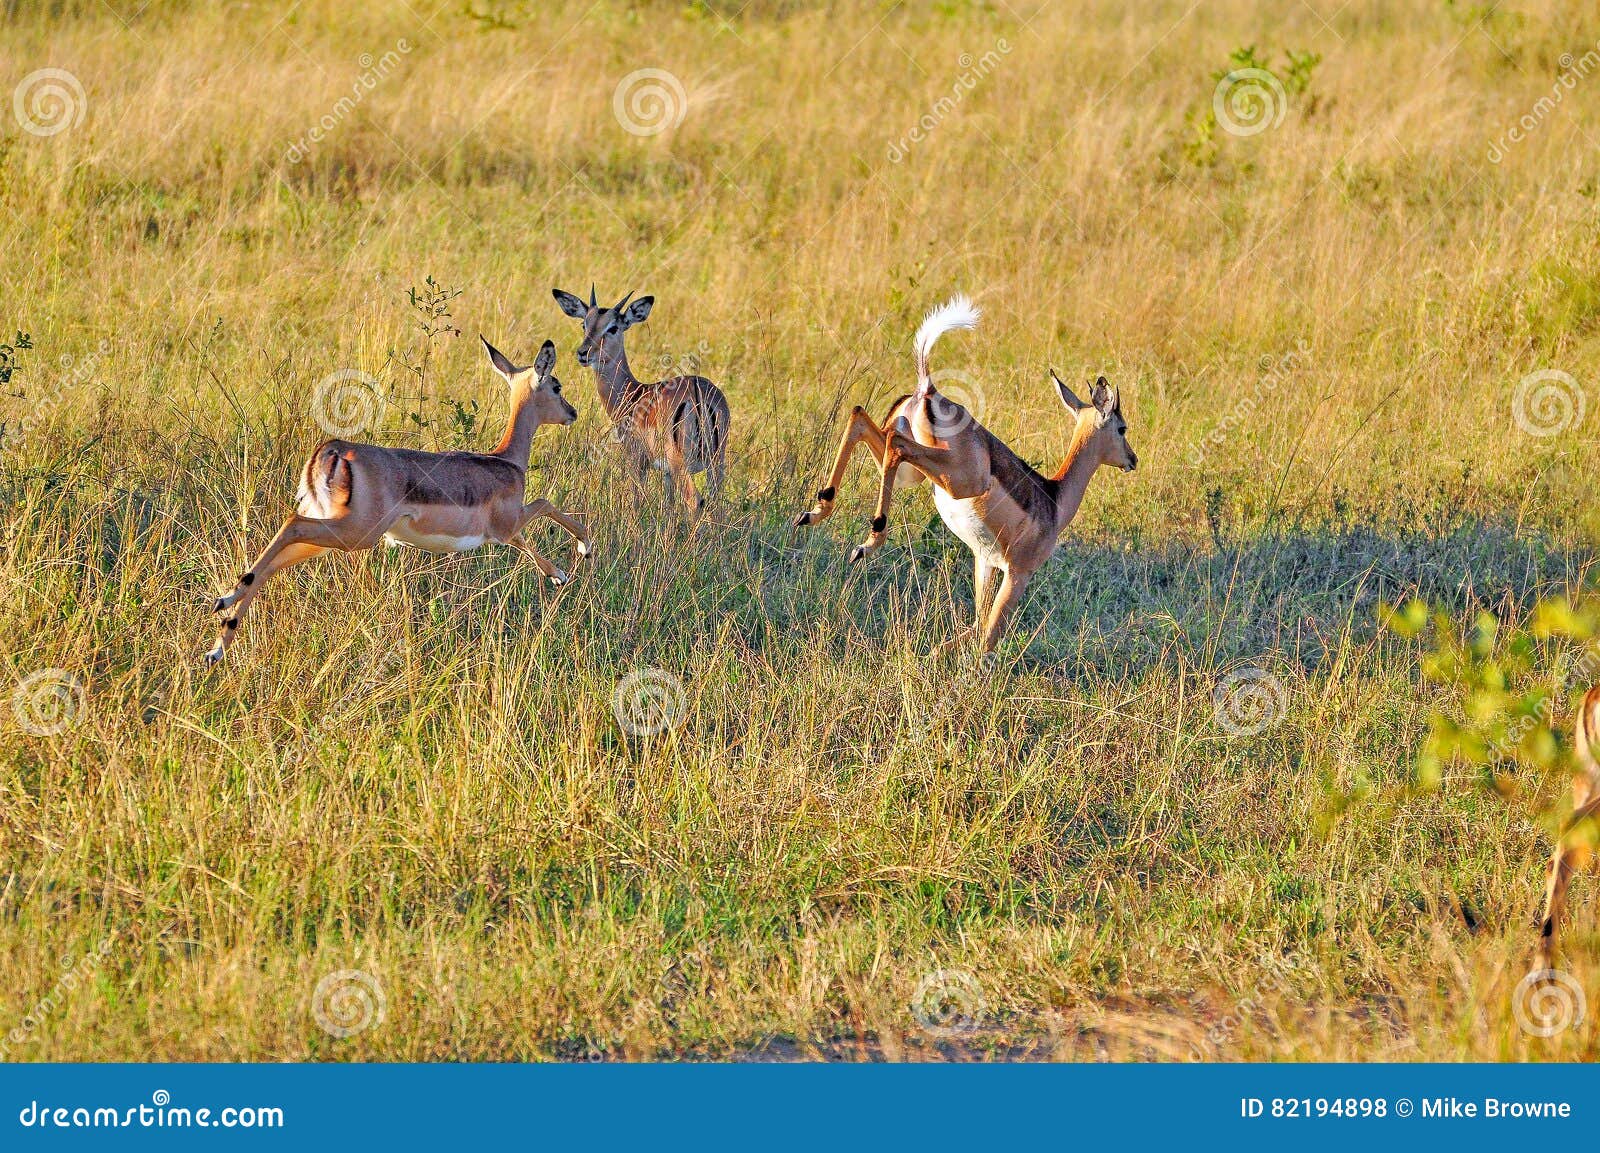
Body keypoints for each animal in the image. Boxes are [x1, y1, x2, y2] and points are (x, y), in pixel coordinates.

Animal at [203, 338, 589, 664]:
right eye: (556, 385)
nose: (572, 412)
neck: (506, 461)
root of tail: (333, 450)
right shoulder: (506, 527)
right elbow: (544, 506)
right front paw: (566, 565)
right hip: (355, 533)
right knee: (290, 525)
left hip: (335, 534)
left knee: (272, 562)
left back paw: (219, 636)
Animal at [551, 286, 729, 514]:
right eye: (584, 324)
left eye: (613, 328)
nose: (583, 353)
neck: (631, 395)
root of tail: (698, 395)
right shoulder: (666, 473)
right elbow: (669, 507)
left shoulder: (636, 462)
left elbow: (636, 502)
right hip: (716, 463)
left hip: (681, 463)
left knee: (695, 501)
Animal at [792, 295, 1137, 655]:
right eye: (1122, 428)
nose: (1132, 459)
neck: (1054, 499)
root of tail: (928, 389)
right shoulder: (1019, 572)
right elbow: (988, 637)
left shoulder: (986, 562)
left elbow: (973, 629)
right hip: (958, 479)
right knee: (895, 444)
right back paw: (868, 542)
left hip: (913, 474)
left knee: (860, 417)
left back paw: (815, 512)